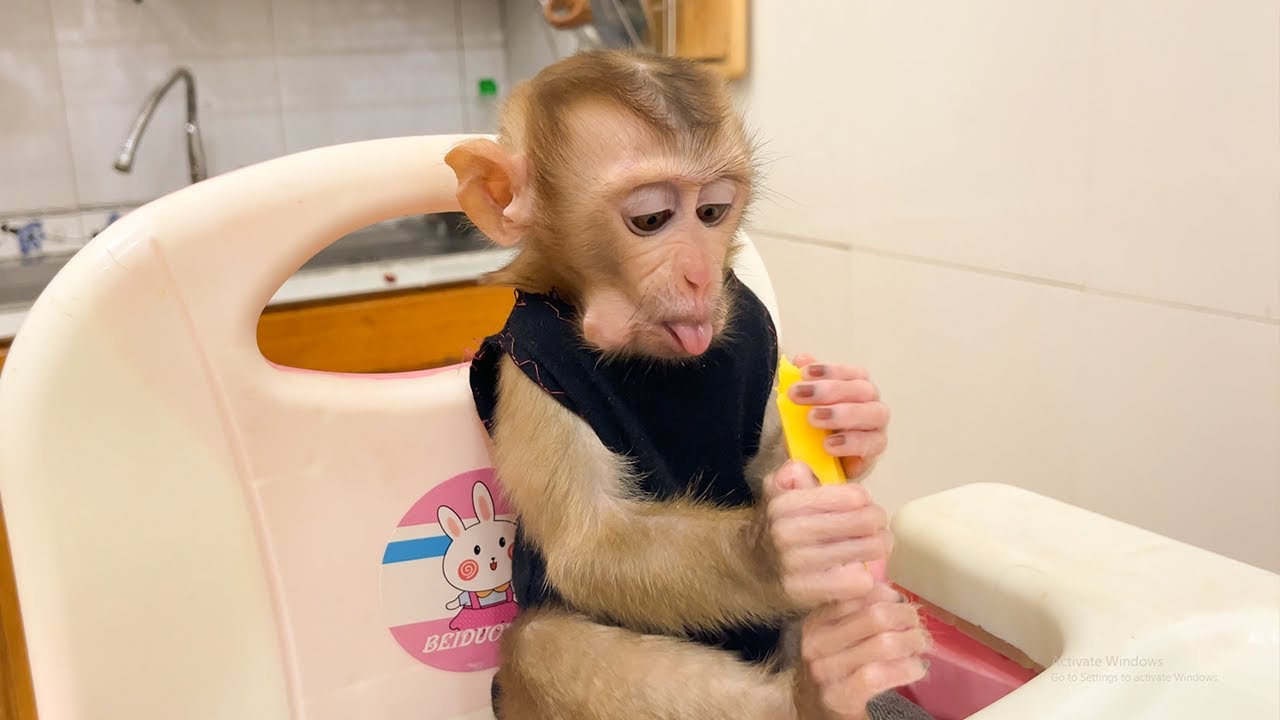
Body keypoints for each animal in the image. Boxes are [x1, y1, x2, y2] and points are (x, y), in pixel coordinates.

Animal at [446, 49, 931, 720]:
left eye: (712, 212)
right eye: (650, 219)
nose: (701, 275)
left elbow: (771, 461)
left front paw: (853, 419)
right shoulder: (531, 368)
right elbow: (591, 542)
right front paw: (777, 548)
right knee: (544, 644)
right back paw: (818, 687)